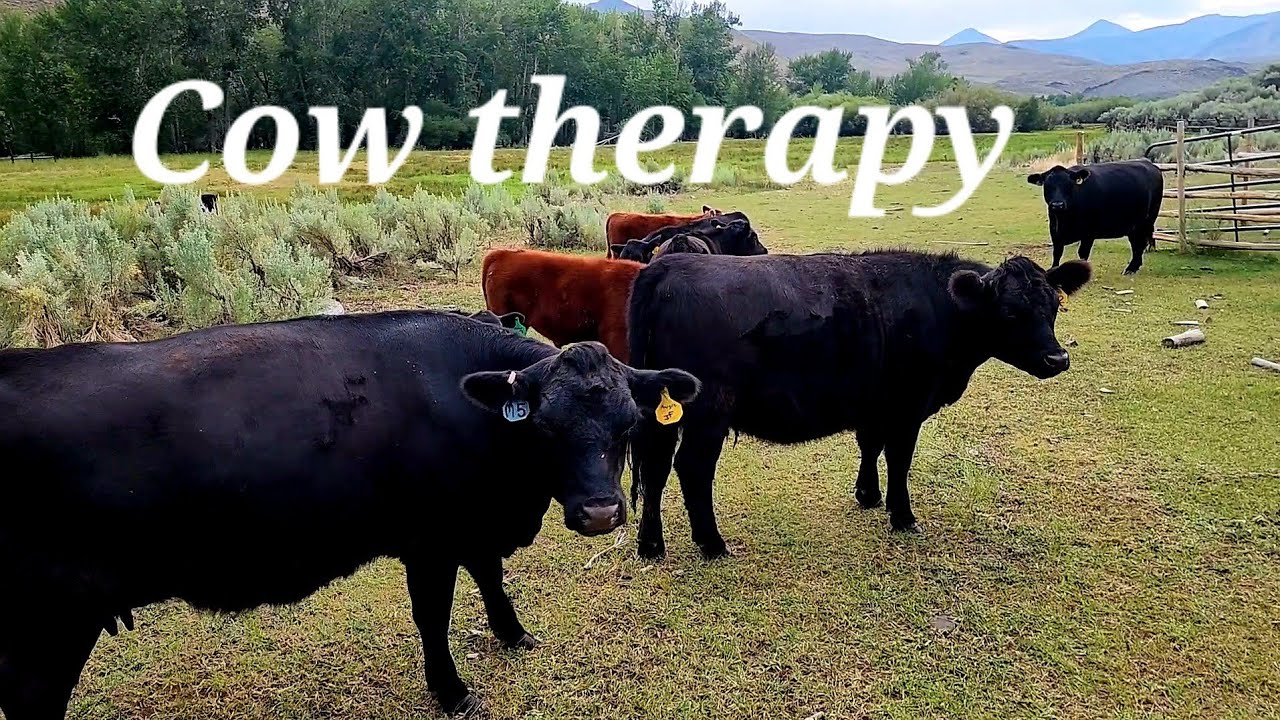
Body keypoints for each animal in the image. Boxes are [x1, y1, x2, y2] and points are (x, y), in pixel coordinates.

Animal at [0, 310, 700, 719]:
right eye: (546, 429)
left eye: (627, 424)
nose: (601, 511)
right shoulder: (430, 540)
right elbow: (434, 617)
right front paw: (451, 691)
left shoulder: (471, 524)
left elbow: (491, 575)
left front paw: (512, 633)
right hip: (53, 618)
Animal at [626, 250, 1092, 560]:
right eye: (1010, 313)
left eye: (1053, 306)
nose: (1058, 359)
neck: (939, 308)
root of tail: (667, 266)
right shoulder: (907, 407)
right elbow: (899, 459)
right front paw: (902, 515)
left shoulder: (875, 403)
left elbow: (870, 446)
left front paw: (867, 494)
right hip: (709, 412)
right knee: (691, 468)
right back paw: (711, 543)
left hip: (664, 412)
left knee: (655, 469)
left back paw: (651, 544)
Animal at [1027, 159, 1163, 275]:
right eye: (1047, 186)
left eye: (1069, 185)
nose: (1057, 205)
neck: (1065, 219)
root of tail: (1149, 163)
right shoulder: (1055, 231)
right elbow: (1057, 253)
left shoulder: (1089, 232)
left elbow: (1082, 253)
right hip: (1134, 226)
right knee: (1136, 244)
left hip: (1146, 220)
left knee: (1139, 244)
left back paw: (1131, 268)